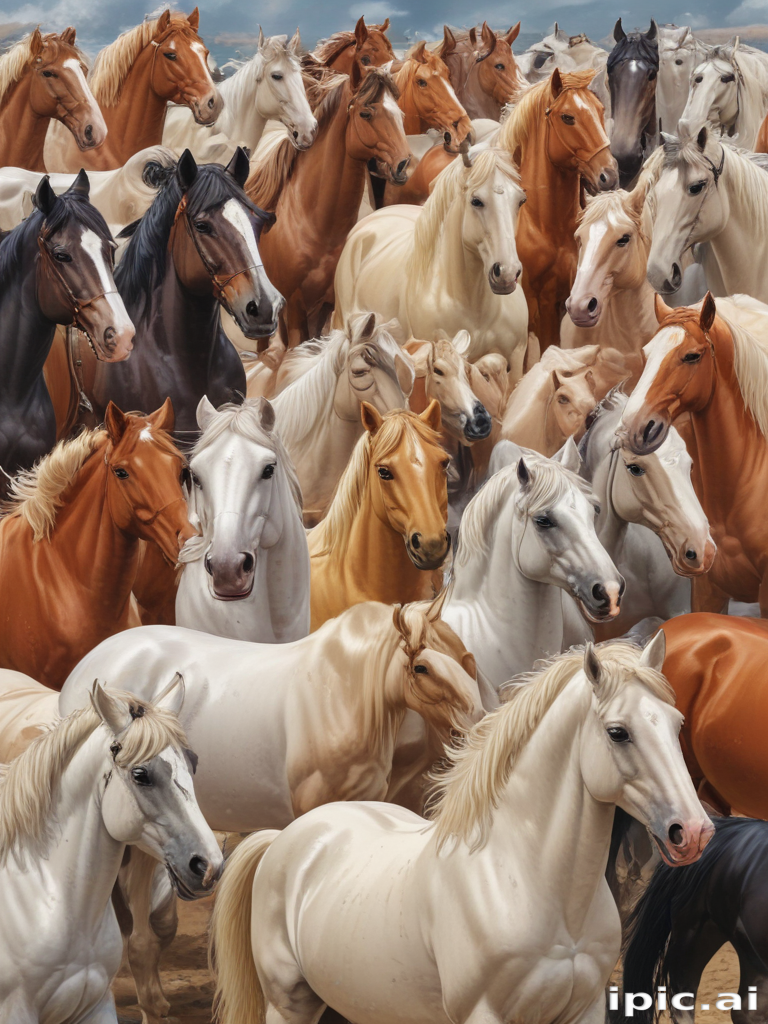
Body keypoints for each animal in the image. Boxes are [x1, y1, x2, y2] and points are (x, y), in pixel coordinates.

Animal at [209, 636, 713, 1024]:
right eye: (617, 732)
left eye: (677, 724)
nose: (692, 832)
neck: (530, 881)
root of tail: (285, 839)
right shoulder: (483, 1014)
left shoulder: (583, 1011)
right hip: (289, 1004)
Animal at [246, 65, 410, 349]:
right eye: (366, 113)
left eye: (399, 114)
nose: (403, 164)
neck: (313, 226)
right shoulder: (295, 308)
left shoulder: (327, 307)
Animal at [498, 68, 618, 352]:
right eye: (567, 117)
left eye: (600, 110)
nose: (609, 174)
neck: (546, 228)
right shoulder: (538, 307)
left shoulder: (566, 302)